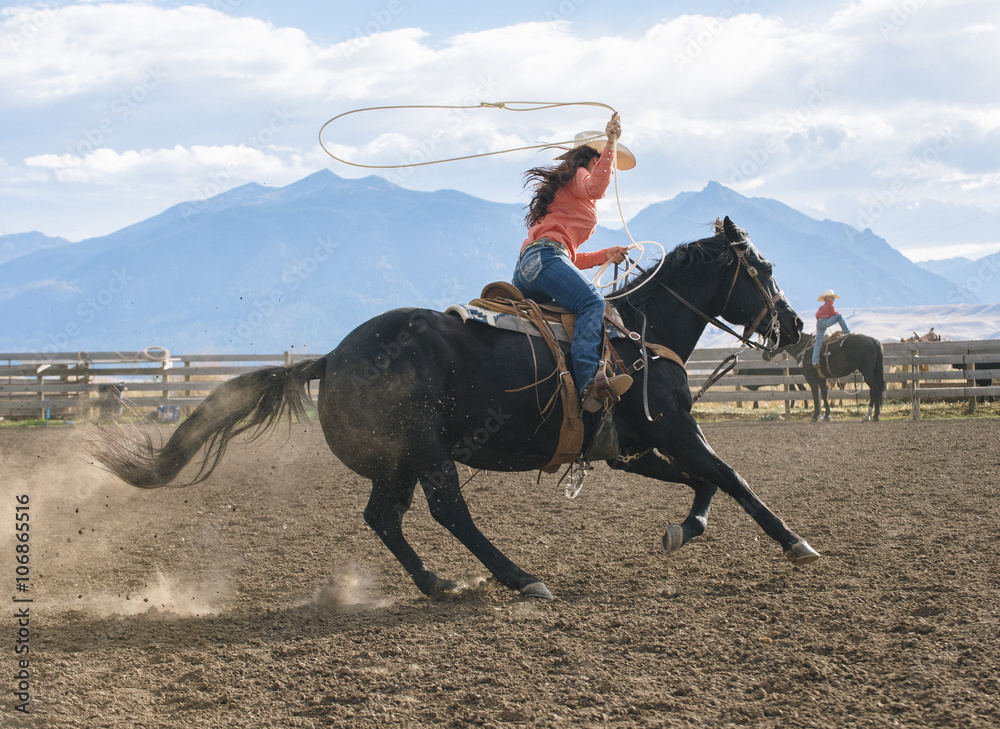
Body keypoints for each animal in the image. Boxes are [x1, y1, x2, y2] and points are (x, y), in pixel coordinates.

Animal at [89, 216, 819, 601]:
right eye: (763, 268)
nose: (794, 326)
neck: (639, 333)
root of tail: (332, 356)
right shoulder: (679, 430)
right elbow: (731, 477)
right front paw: (796, 542)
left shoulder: (632, 450)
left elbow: (701, 482)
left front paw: (681, 530)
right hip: (427, 451)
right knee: (449, 512)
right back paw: (520, 578)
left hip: (399, 460)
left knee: (384, 516)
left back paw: (437, 582)